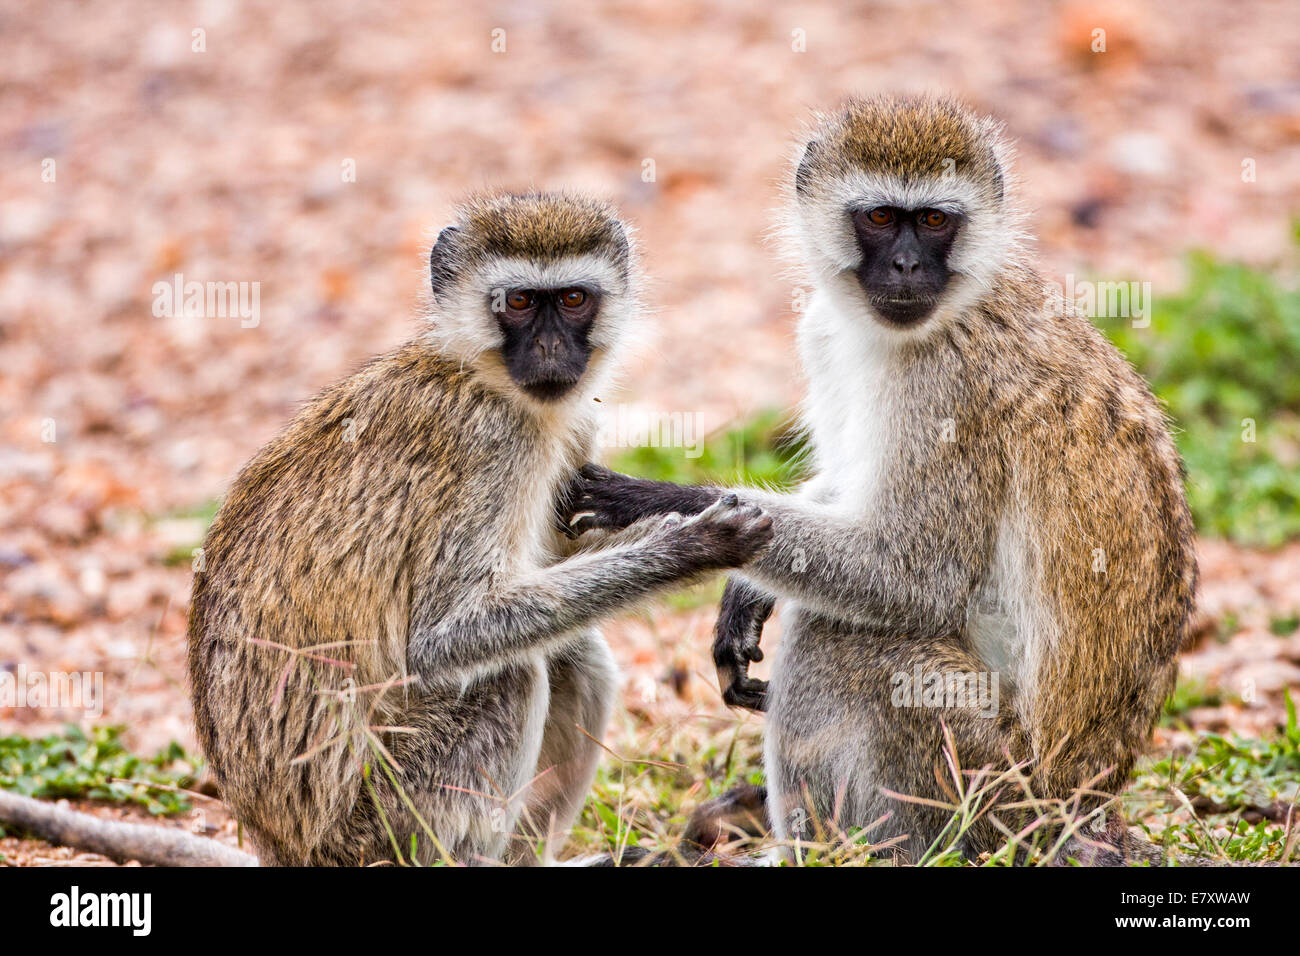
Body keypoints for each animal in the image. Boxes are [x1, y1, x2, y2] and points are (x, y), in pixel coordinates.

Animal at [180, 192, 773, 866]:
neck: (483, 376)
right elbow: (441, 637)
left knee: (572, 653)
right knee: (509, 675)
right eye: (519, 303)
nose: (550, 351)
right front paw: (691, 545)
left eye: (573, 298)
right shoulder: (487, 443)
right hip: (378, 822)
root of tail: (286, 846)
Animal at [564, 95, 1197, 864]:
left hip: (990, 782)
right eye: (879, 217)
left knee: (841, 636)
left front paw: (661, 503)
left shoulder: (947, 386)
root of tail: (1083, 809)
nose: (904, 264)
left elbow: (915, 574)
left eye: (933, 221)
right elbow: (846, 486)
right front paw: (743, 589)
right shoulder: (824, 332)